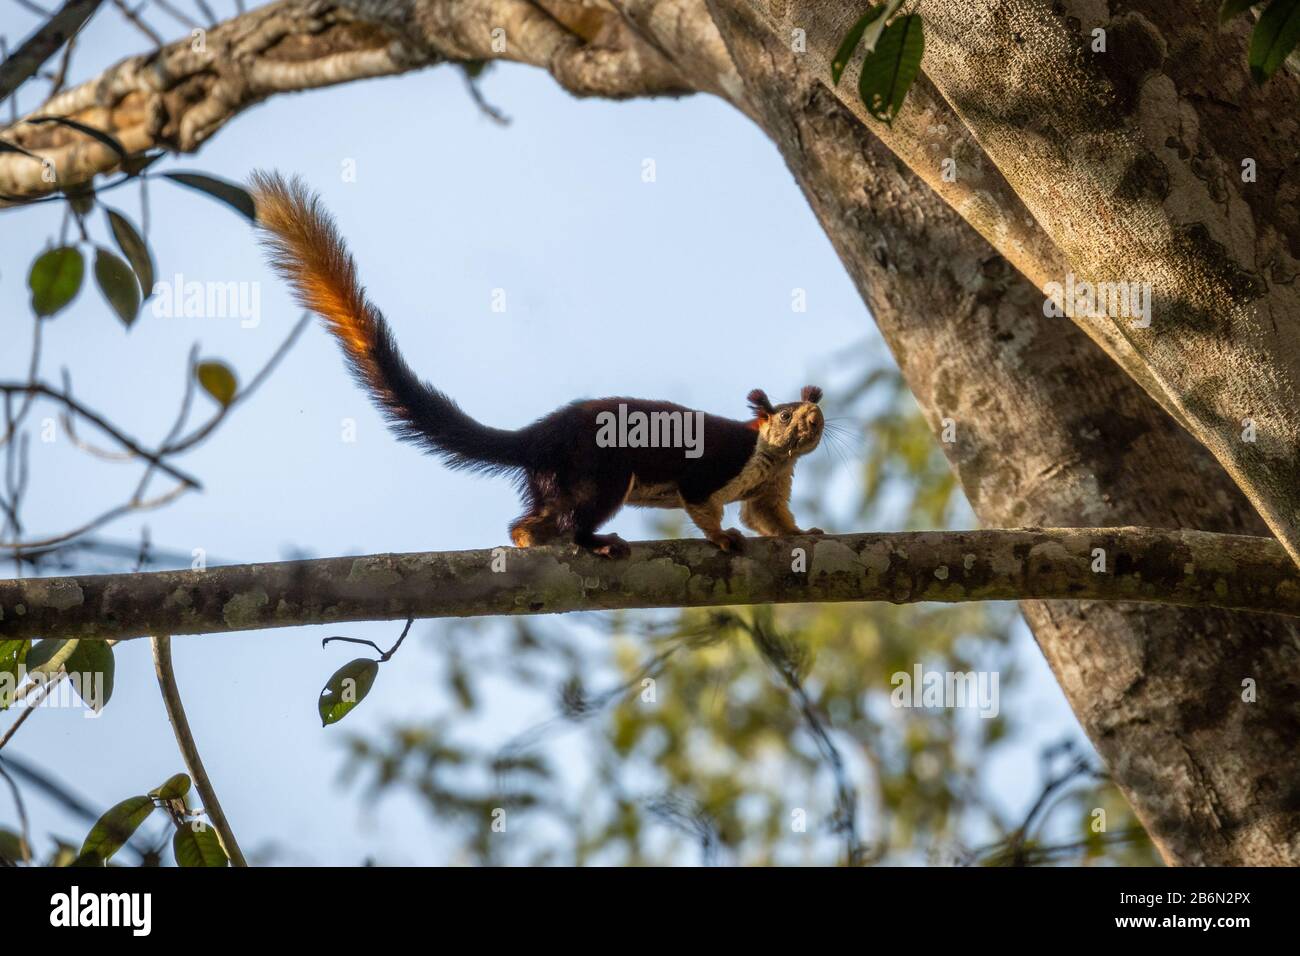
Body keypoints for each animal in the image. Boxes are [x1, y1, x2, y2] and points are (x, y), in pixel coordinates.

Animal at [249, 172, 826, 559]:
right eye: (785, 414)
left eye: (812, 410)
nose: (815, 419)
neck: (769, 458)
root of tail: (539, 436)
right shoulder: (719, 462)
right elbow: (702, 500)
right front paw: (723, 537)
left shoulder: (770, 488)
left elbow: (768, 518)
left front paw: (804, 534)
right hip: (598, 467)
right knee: (583, 513)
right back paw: (594, 542)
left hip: (559, 479)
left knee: (536, 518)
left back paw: (530, 538)